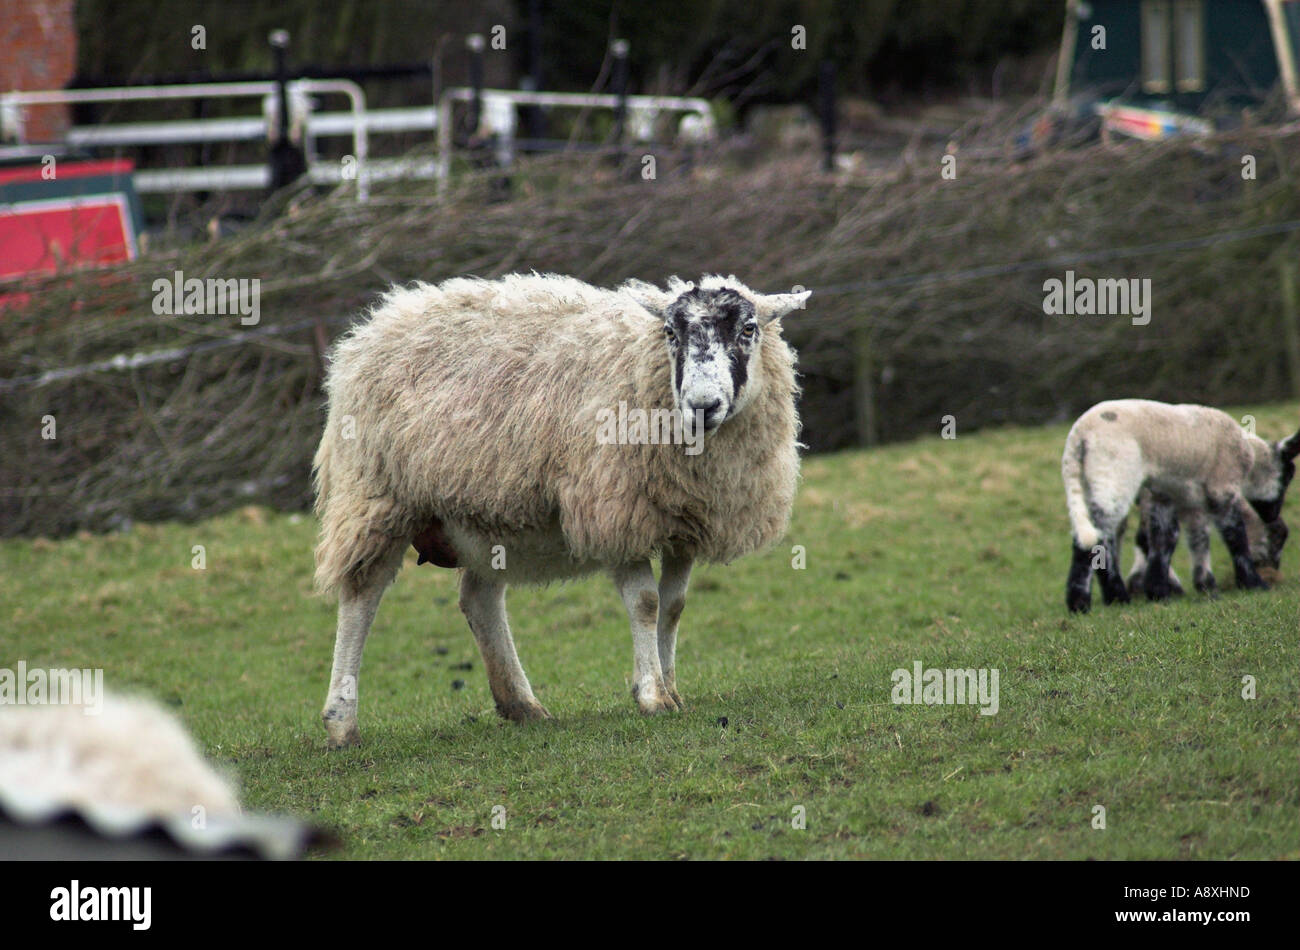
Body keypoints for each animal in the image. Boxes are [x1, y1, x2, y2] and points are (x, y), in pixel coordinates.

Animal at [312, 272, 809, 748]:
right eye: (670, 332)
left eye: (749, 329)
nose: (702, 406)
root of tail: (374, 325)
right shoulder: (613, 508)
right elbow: (646, 603)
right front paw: (651, 696)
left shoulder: (682, 521)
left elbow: (673, 606)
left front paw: (671, 689)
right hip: (376, 495)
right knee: (361, 596)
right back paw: (341, 724)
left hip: (483, 511)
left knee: (479, 598)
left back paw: (522, 705)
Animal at [1061, 398, 1299, 612]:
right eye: (1288, 475)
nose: (1272, 515)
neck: (1249, 457)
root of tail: (1078, 438)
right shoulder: (1221, 488)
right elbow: (1235, 537)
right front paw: (1253, 583)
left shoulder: (1171, 497)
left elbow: (1174, 539)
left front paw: (1164, 590)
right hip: (1113, 475)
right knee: (1100, 539)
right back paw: (1099, 599)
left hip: (1090, 483)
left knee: (1091, 537)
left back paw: (1097, 599)